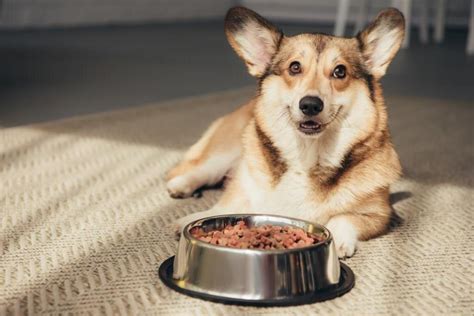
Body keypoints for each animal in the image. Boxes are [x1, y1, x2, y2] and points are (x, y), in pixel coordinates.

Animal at [166, 6, 404, 258]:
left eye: (340, 71)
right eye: (294, 67)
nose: (310, 105)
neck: (308, 155)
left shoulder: (380, 214)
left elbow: (345, 217)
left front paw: (337, 238)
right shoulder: (243, 188)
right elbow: (224, 207)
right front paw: (193, 219)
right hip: (224, 153)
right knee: (199, 170)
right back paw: (180, 186)